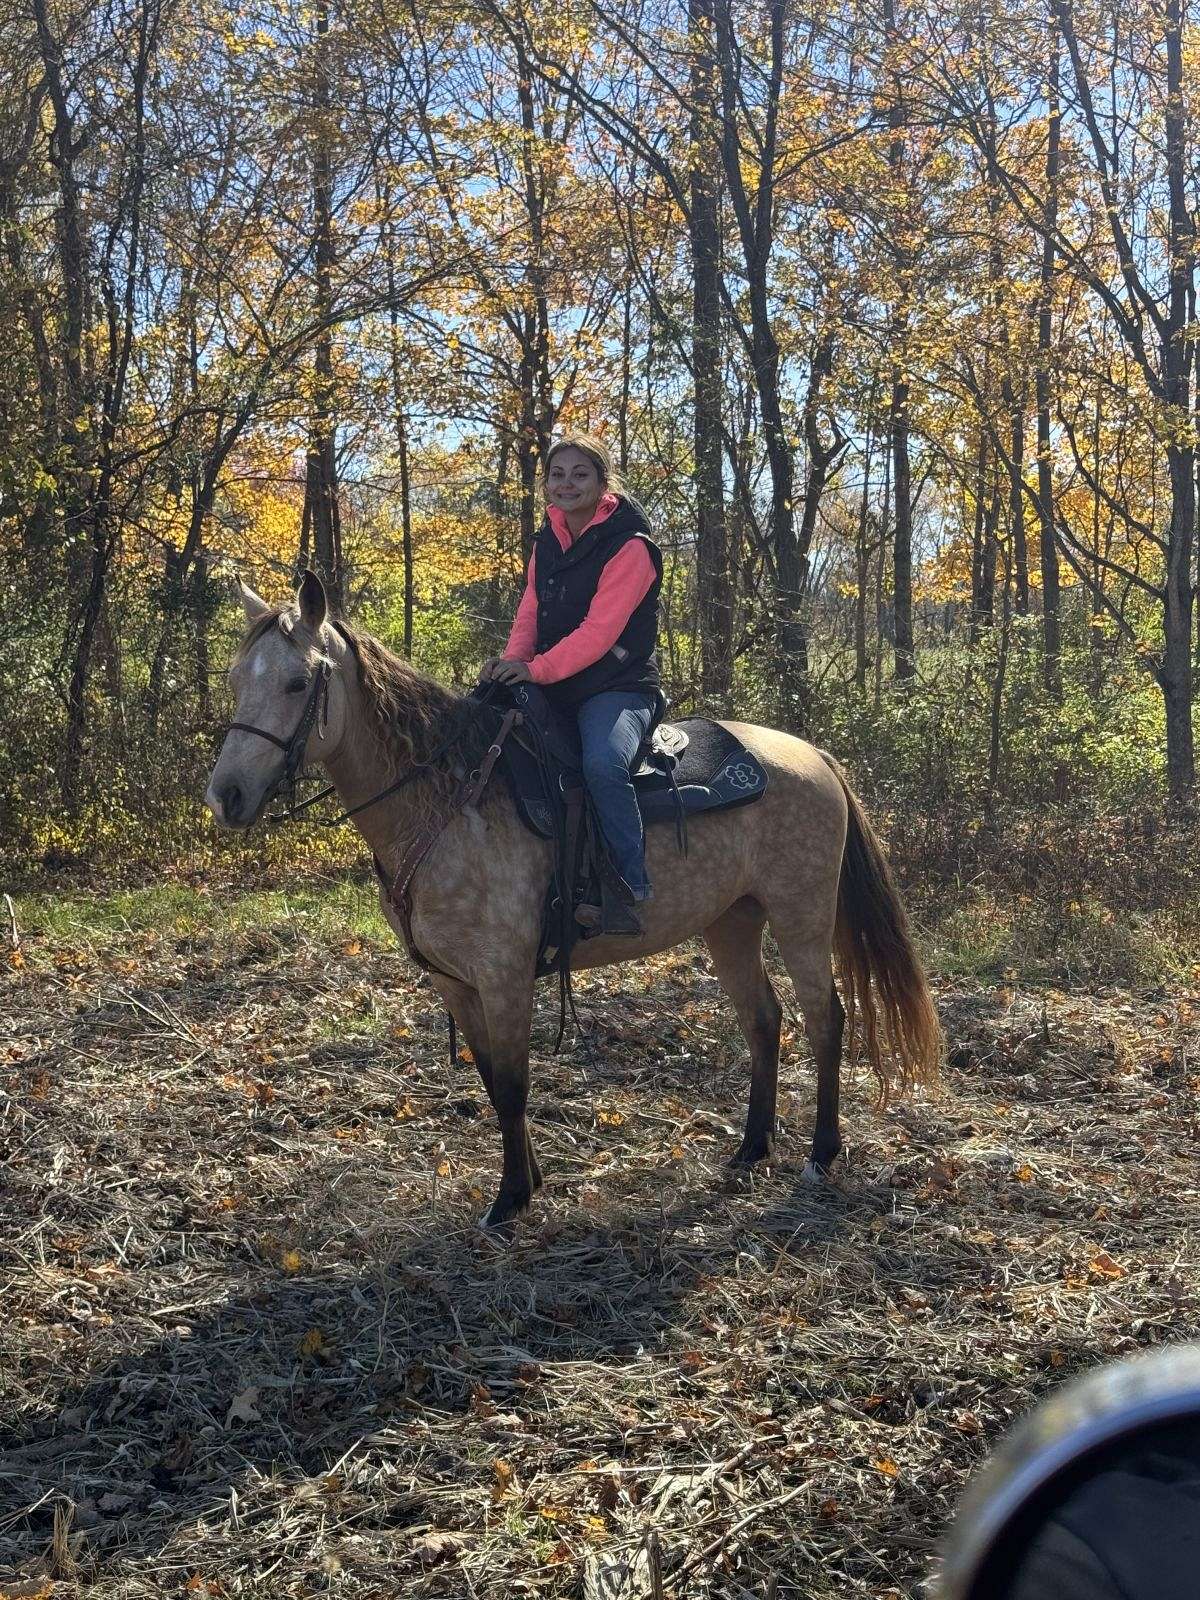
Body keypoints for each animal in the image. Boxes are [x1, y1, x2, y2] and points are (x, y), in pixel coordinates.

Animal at [205, 573, 942, 1229]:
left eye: (298, 683)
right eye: (239, 680)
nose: (227, 796)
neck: (449, 798)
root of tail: (813, 755)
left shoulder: (503, 975)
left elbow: (512, 1084)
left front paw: (511, 1200)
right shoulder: (453, 982)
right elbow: (491, 1080)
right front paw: (528, 1180)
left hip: (801, 918)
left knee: (826, 1021)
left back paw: (821, 1155)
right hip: (731, 923)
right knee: (764, 1021)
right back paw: (751, 1149)